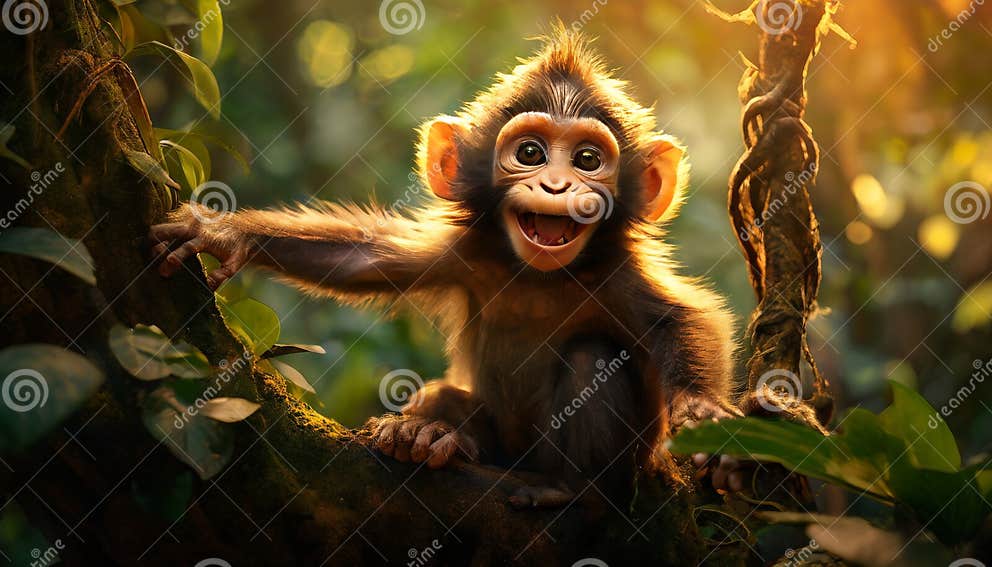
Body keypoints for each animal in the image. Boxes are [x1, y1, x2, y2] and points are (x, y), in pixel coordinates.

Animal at [149, 29, 744, 506]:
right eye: (530, 153)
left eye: (588, 161)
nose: (557, 185)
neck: (539, 276)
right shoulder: (467, 253)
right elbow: (363, 257)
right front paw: (223, 233)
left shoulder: (619, 274)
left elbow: (684, 320)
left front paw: (704, 414)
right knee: (446, 397)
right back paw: (432, 437)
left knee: (591, 357)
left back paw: (567, 487)